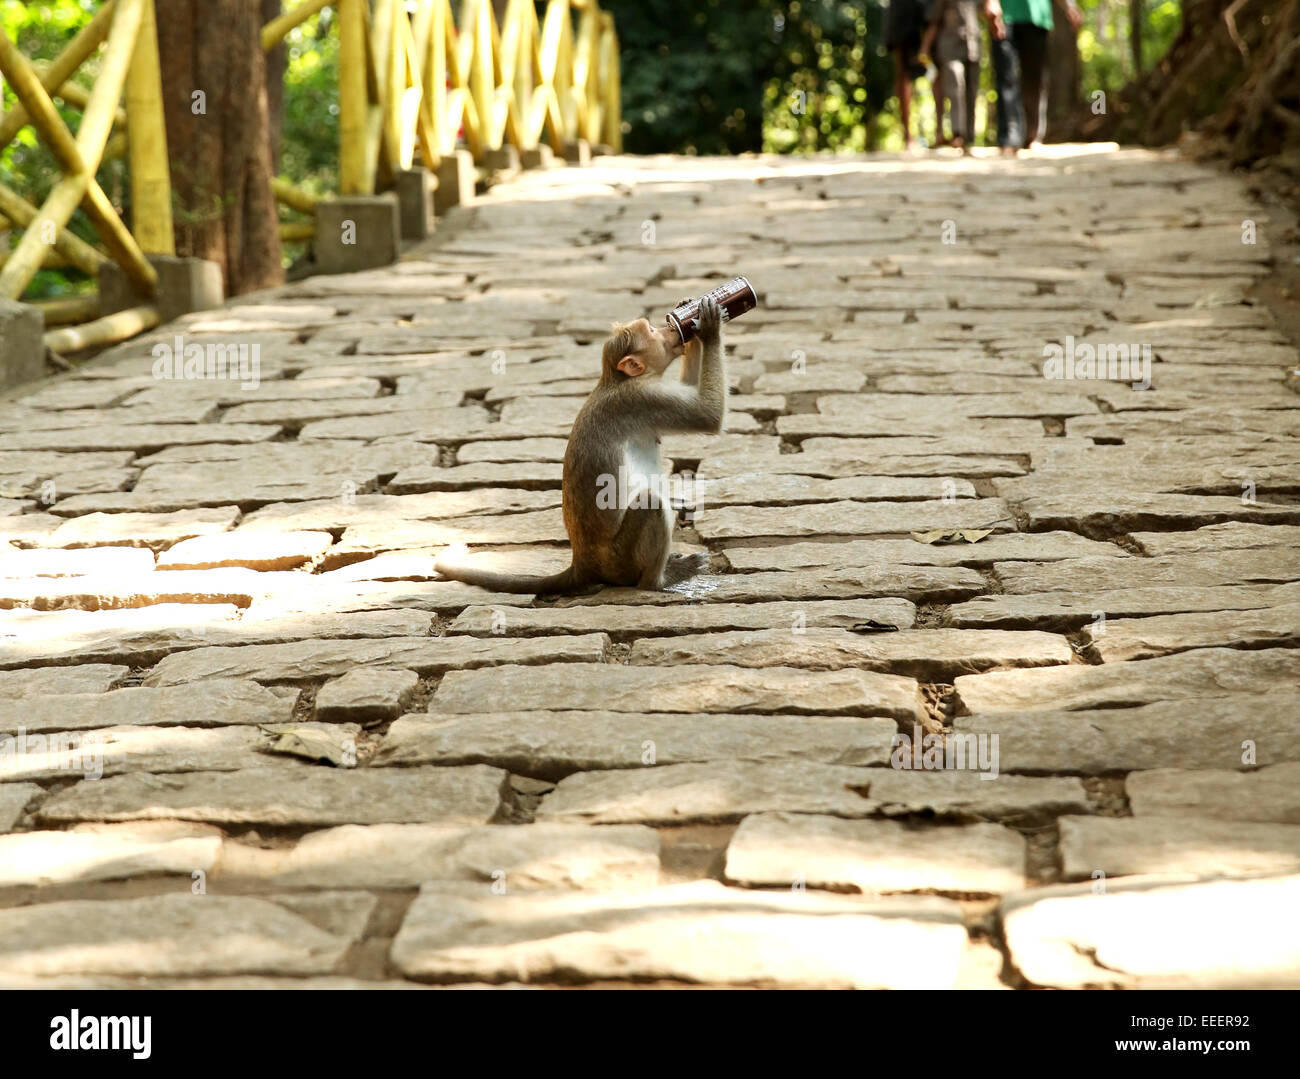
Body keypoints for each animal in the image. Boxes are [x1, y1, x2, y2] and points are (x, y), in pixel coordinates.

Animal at [434, 295, 726, 594]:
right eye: (652, 331)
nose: (670, 328)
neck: (617, 379)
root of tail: (582, 563)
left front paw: (694, 322)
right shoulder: (643, 399)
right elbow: (707, 415)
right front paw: (709, 327)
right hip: (620, 560)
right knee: (650, 502)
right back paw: (660, 579)